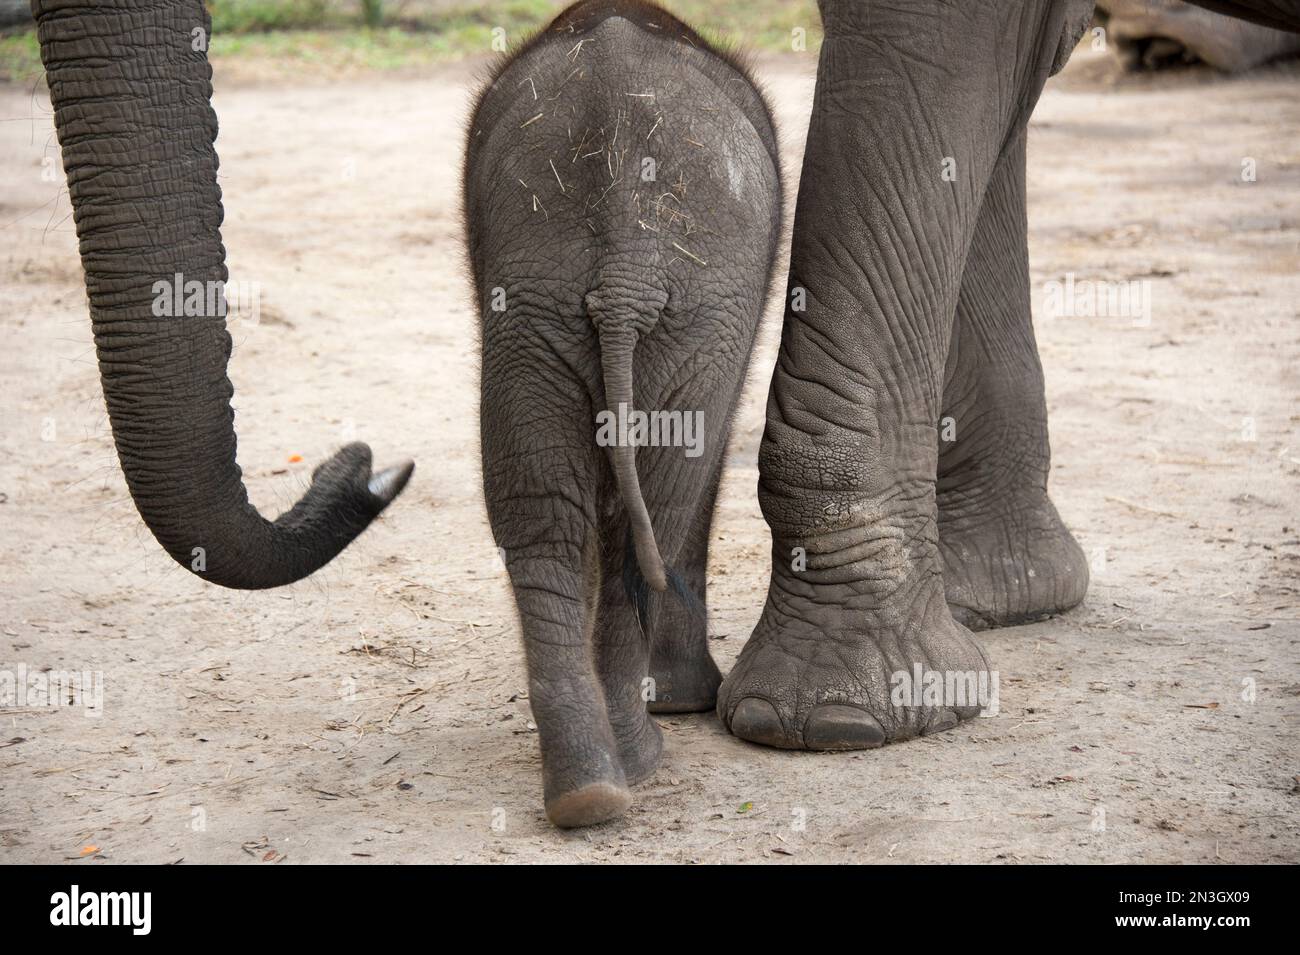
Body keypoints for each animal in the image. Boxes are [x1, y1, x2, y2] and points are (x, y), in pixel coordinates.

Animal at [463, 0, 782, 826]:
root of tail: (625, 263)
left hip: (538, 305)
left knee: (546, 509)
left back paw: (591, 791)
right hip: (691, 308)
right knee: (662, 500)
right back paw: (631, 763)